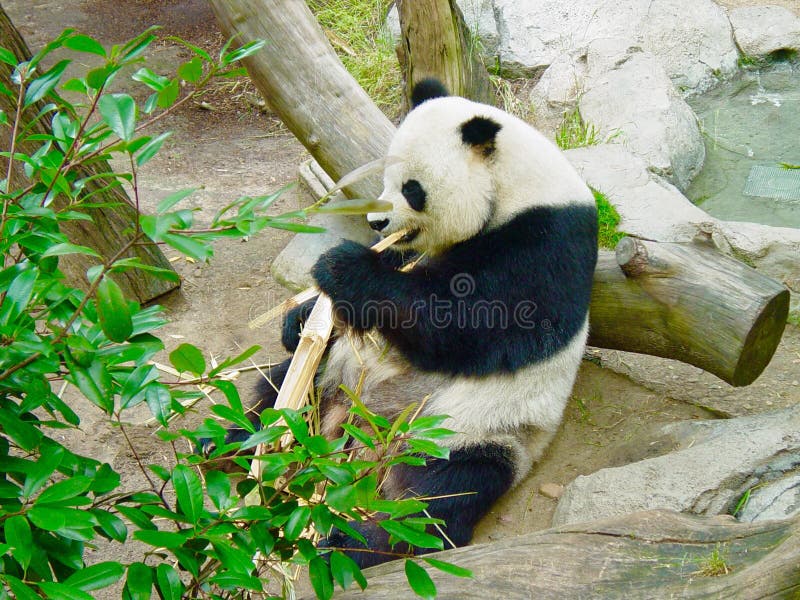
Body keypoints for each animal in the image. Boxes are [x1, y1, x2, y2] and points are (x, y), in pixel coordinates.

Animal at [234, 78, 597, 567]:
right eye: (385, 178)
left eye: (412, 189)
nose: (375, 220)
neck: (517, 185)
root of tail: (360, 435)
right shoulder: (410, 249)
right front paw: (303, 318)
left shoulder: (547, 241)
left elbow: (474, 322)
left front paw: (343, 268)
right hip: (333, 375)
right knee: (275, 394)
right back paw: (230, 445)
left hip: (474, 427)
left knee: (440, 493)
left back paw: (357, 542)